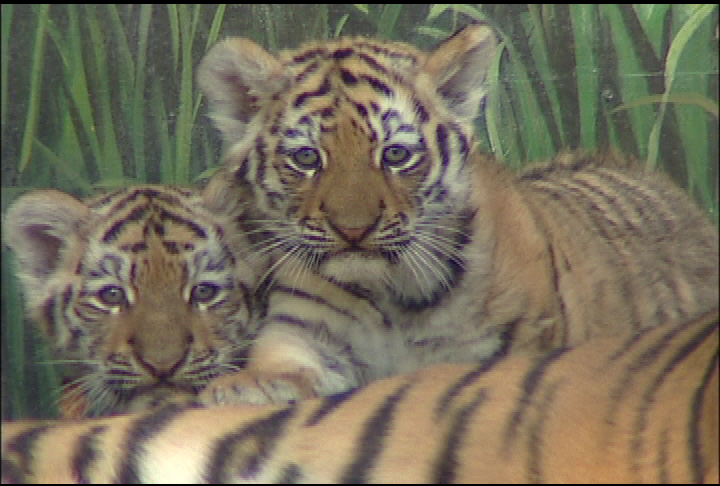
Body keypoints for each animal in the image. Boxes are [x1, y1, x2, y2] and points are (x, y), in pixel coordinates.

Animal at [195, 23, 719, 405]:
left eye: (395, 155)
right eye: (307, 159)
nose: (353, 230)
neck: (388, 297)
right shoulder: (306, 332)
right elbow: (280, 363)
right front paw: (247, 388)